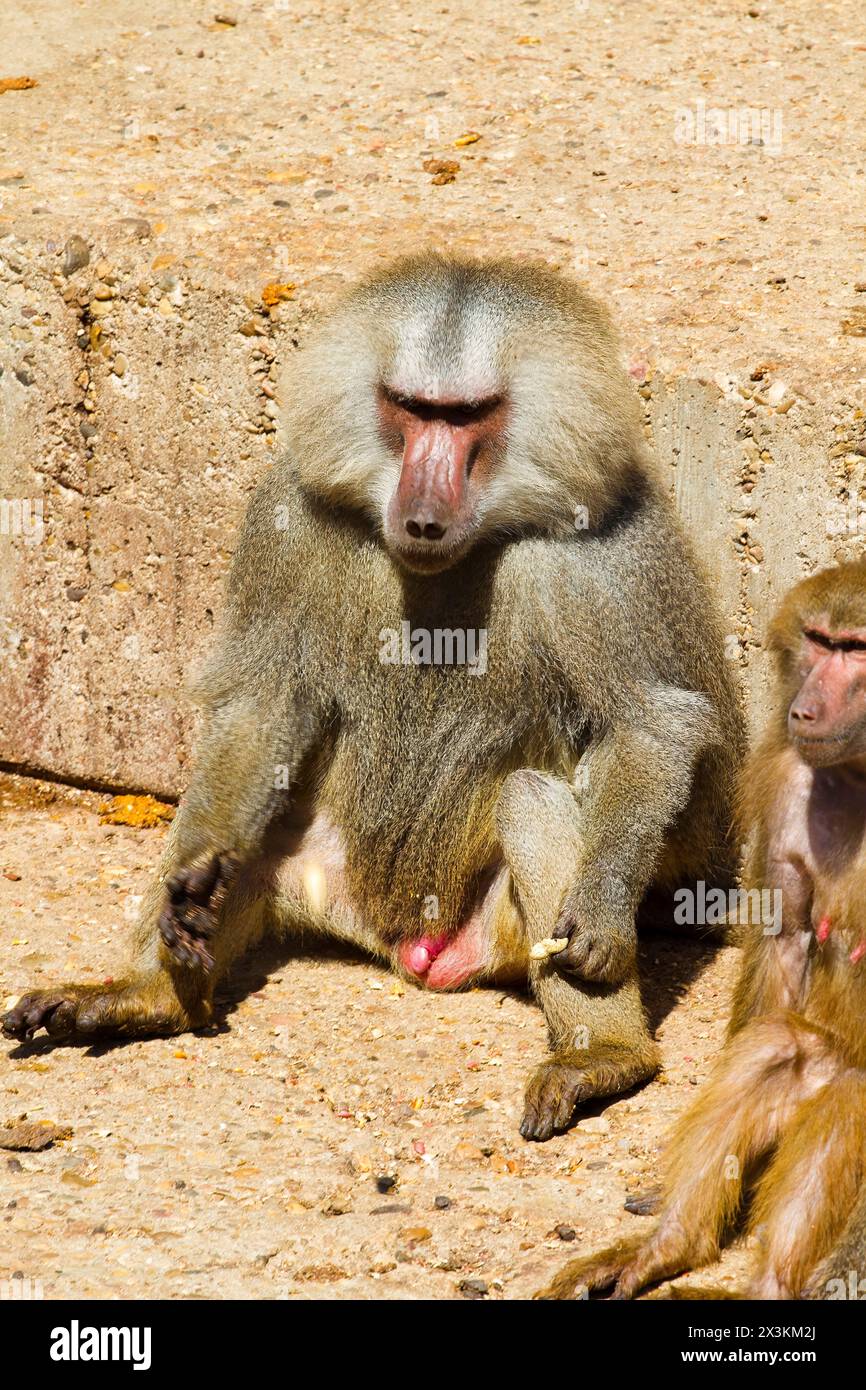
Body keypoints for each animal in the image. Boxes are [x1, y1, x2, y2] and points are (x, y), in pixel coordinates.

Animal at [2, 254, 743, 1142]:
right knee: (253, 822)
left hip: (502, 931)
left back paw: (602, 1056)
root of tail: (415, 950)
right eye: (410, 409)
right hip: (330, 885)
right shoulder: (288, 519)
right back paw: (149, 995)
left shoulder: (605, 557)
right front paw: (192, 888)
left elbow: (651, 724)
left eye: (468, 417)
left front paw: (598, 919)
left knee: (533, 798)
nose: (421, 516)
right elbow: (263, 704)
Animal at [537, 556, 866, 1296]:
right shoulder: (790, 780)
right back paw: (668, 1247)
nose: (803, 710)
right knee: (776, 1048)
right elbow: (784, 947)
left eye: (857, 649)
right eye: (819, 640)